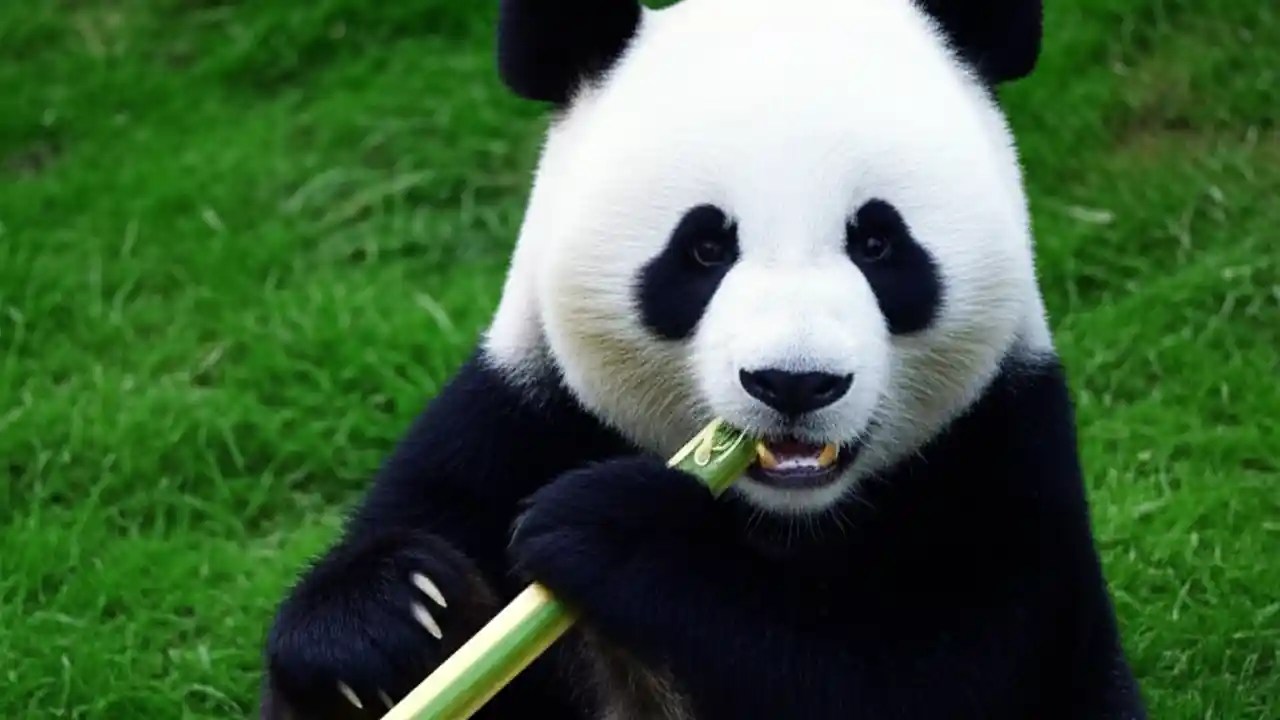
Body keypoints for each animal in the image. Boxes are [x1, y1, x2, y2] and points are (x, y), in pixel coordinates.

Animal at [260, 0, 1148, 718]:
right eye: (705, 249)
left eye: (877, 242)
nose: (795, 382)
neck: (783, 514)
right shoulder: (518, 420)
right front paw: (393, 616)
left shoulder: (1002, 462)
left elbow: (923, 675)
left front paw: (618, 527)